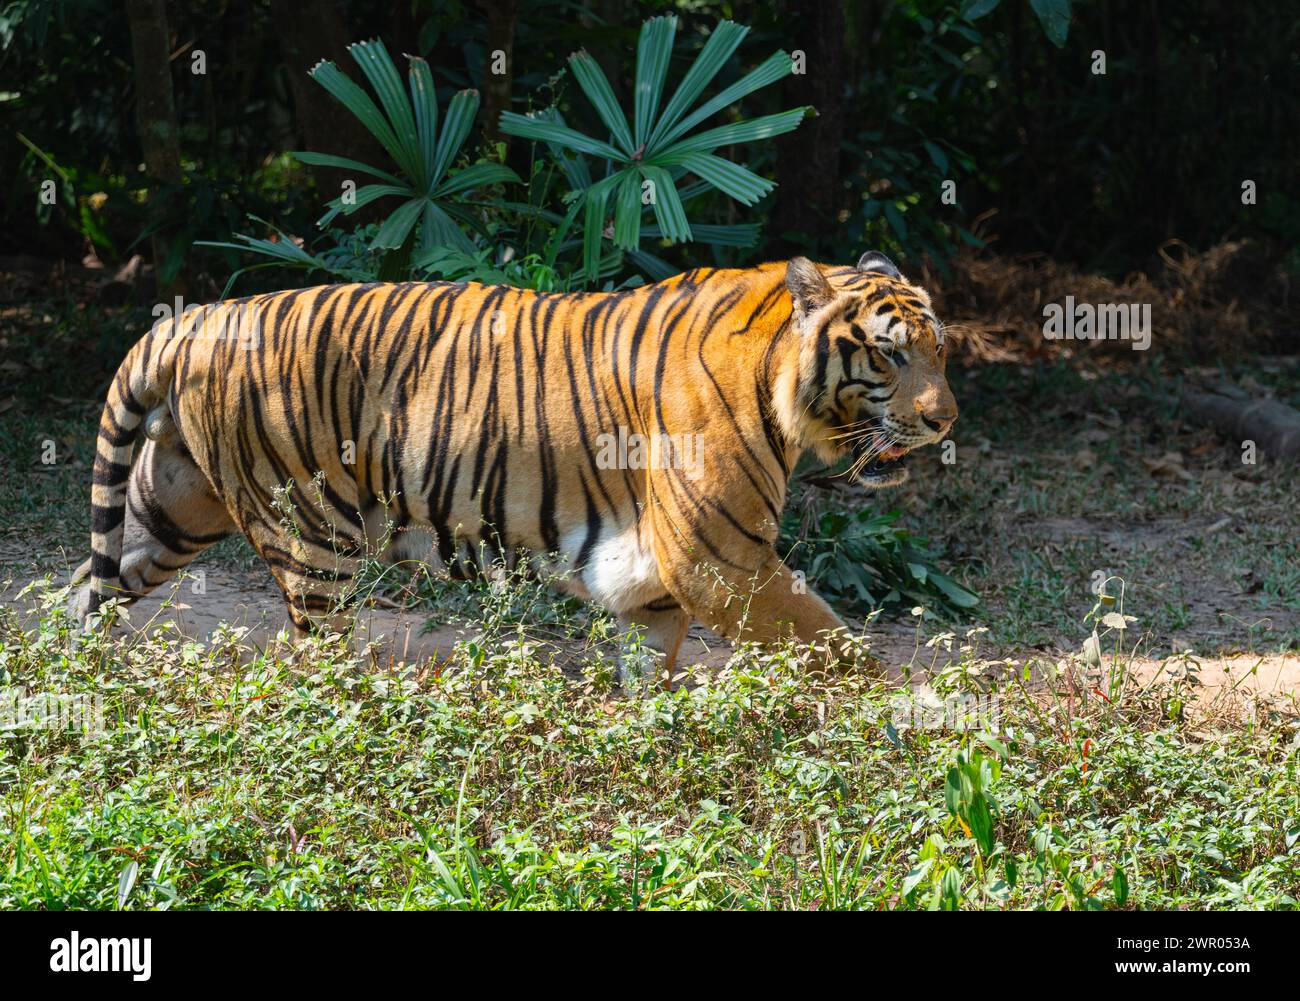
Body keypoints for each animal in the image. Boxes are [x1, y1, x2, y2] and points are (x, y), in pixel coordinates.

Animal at [73, 251, 957, 681]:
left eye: (942, 349)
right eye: (890, 352)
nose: (945, 419)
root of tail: (196, 319)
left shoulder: (658, 581)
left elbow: (654, 671)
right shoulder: (721, 558)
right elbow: (839, 648)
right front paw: (896, 725)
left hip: (170, 509)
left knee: (78, 588)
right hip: (309, 536)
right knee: (314, 665)